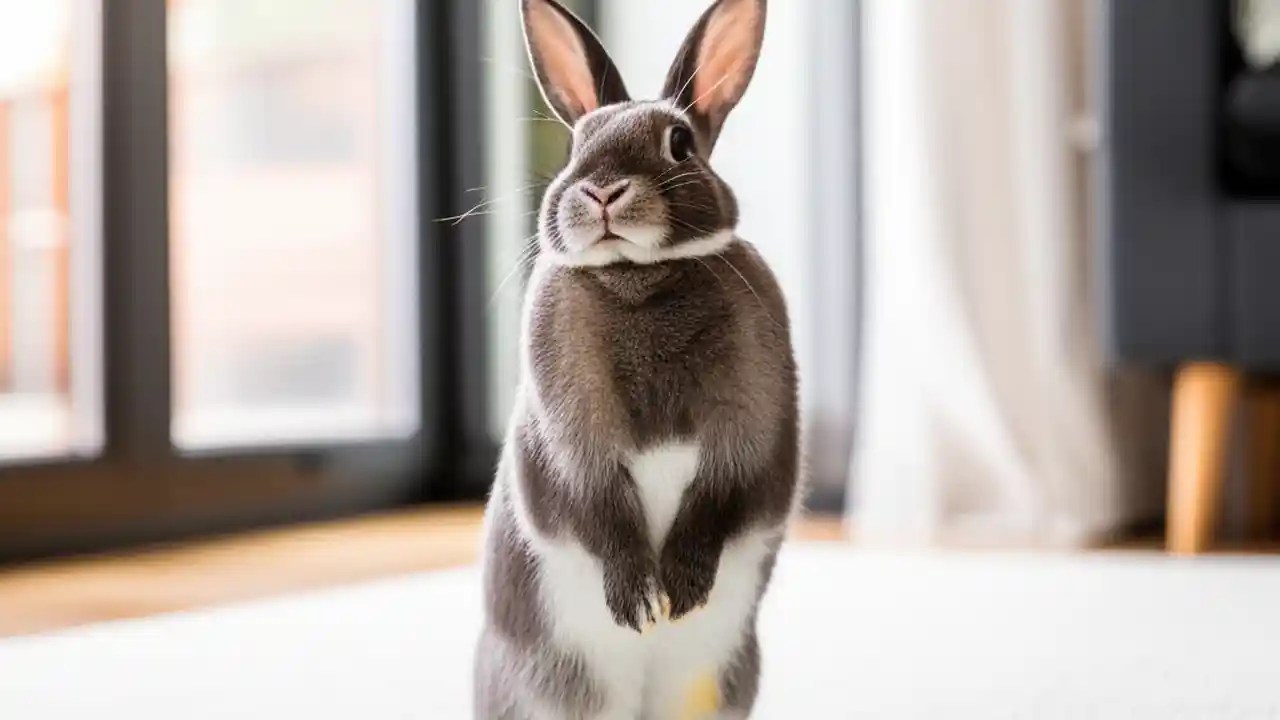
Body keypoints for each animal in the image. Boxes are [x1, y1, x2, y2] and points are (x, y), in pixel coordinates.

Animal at [474, 0, 800, 717]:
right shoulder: (574, 437)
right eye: (577, 144)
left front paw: (680, 590)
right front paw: (642, 603)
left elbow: (721, 492)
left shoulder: (747, 421)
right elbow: (597, 502)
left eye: (679, 143)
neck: (637, 274)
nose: (602, 193)